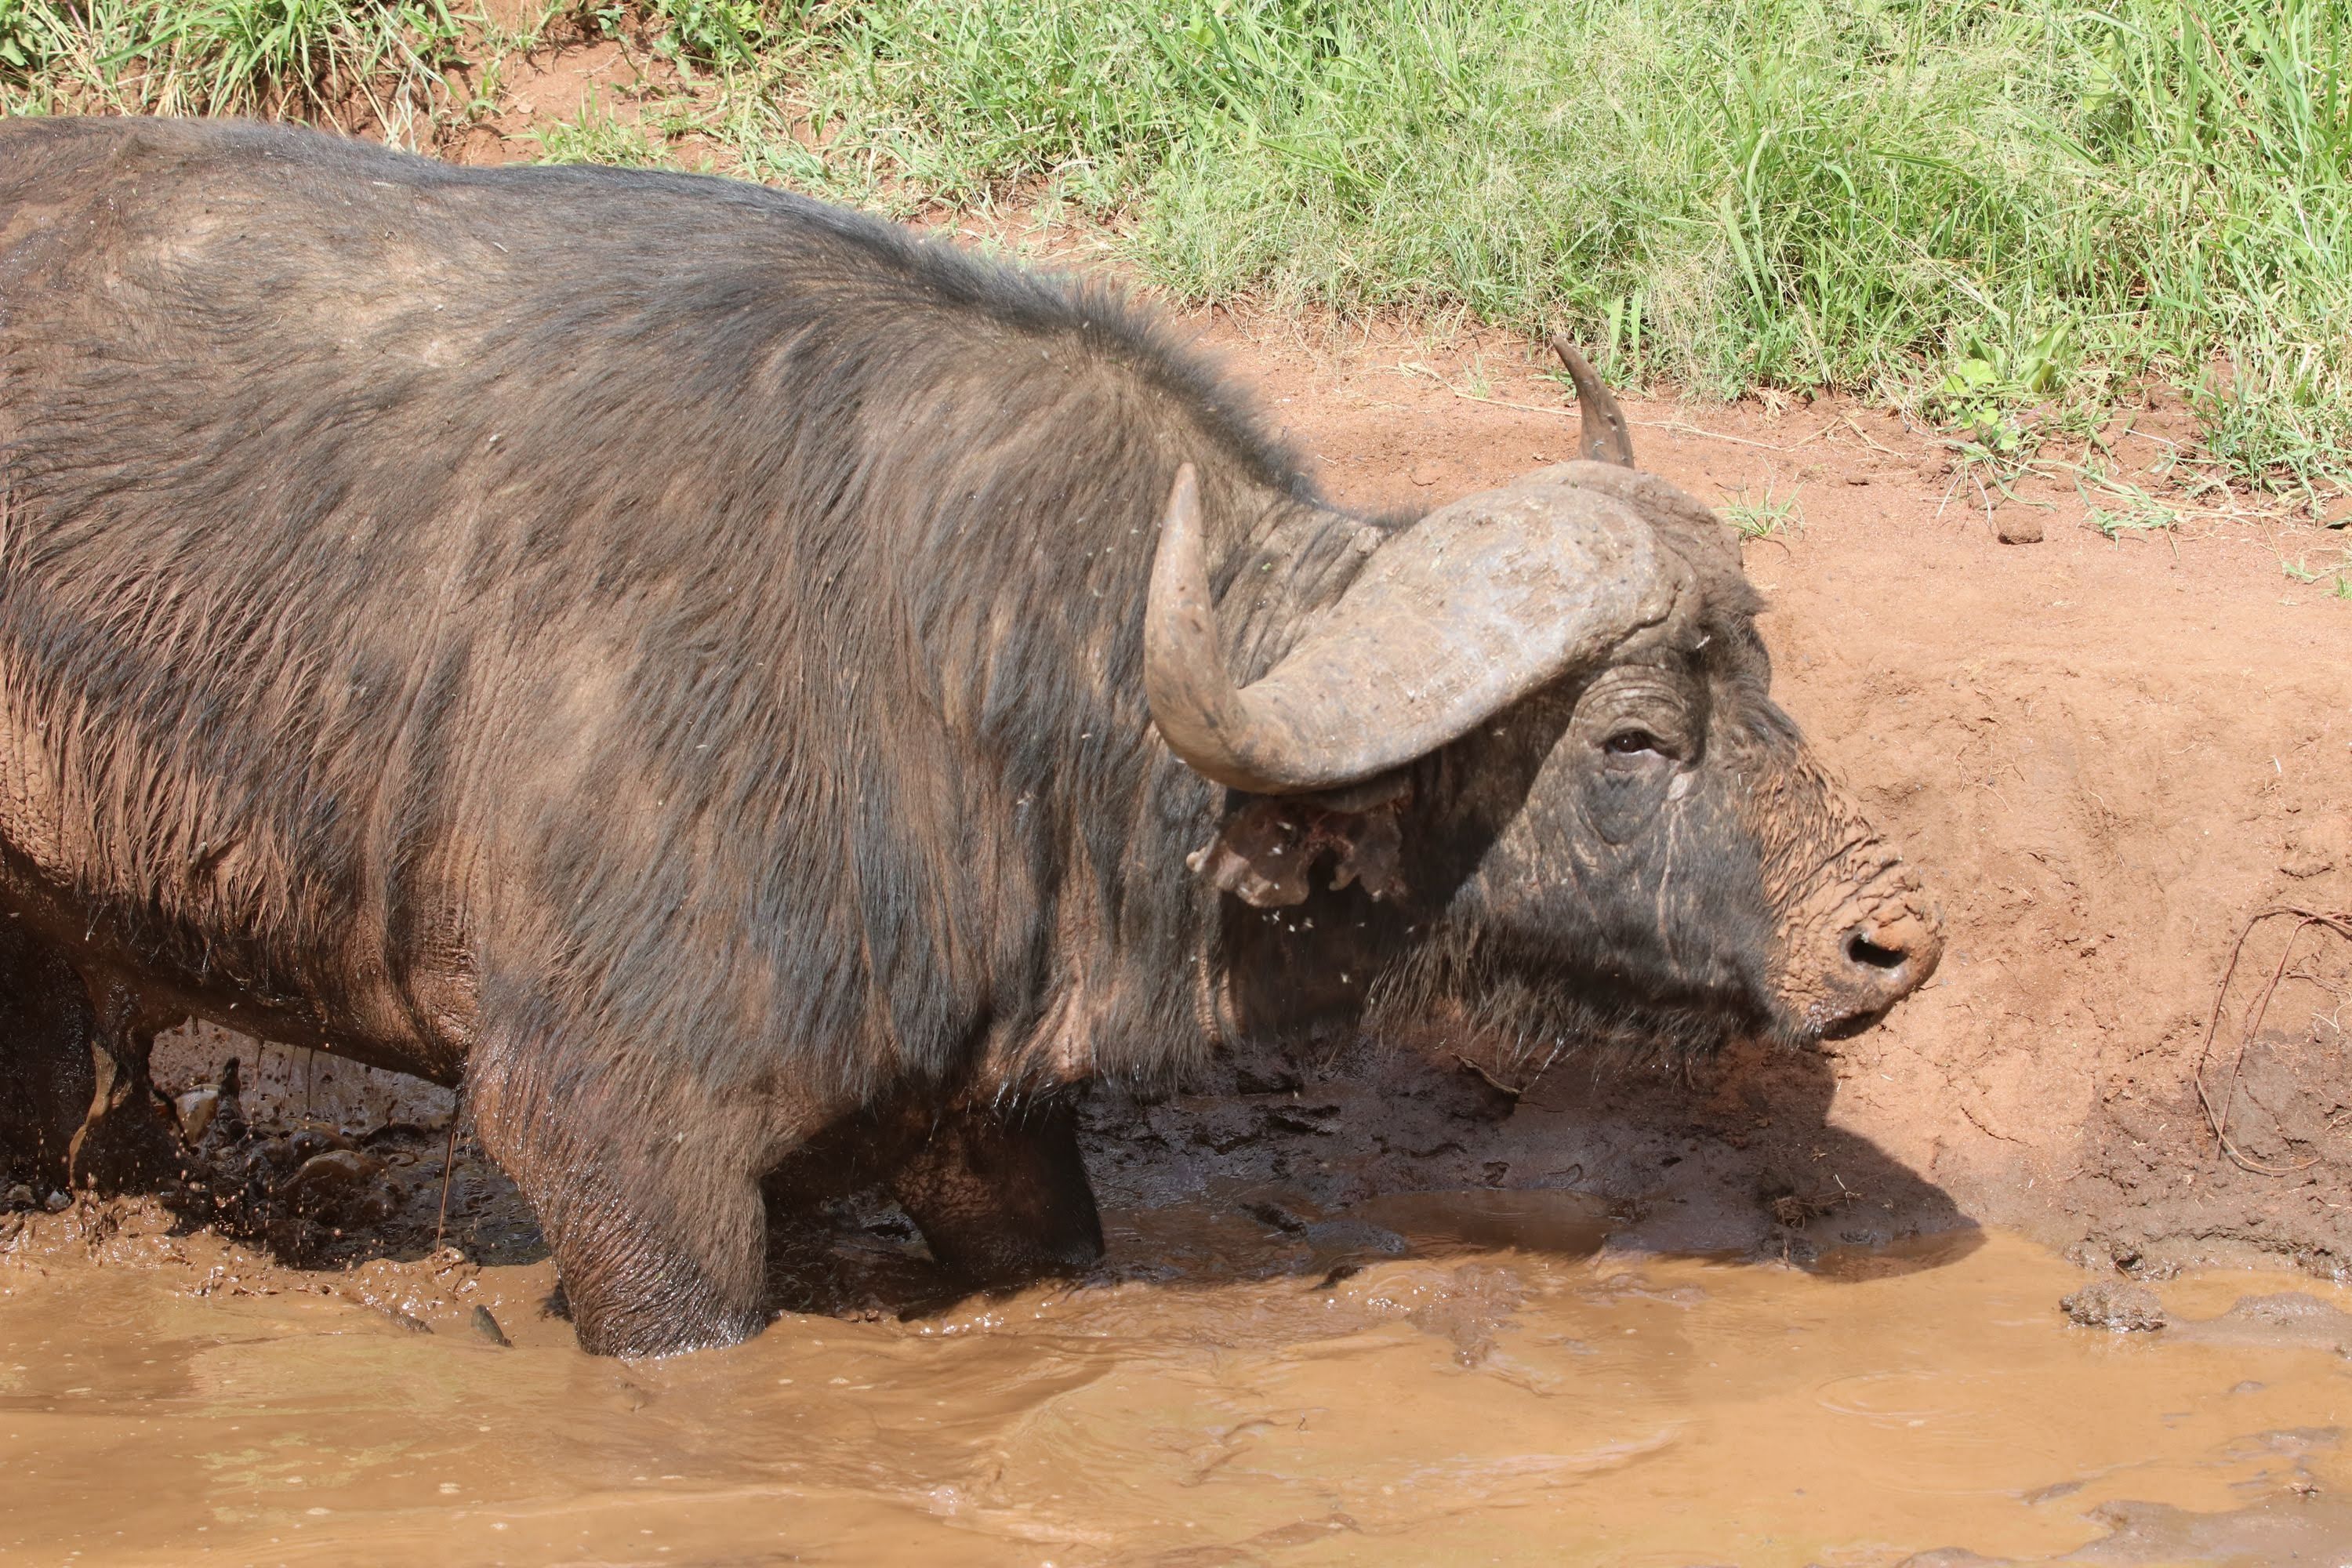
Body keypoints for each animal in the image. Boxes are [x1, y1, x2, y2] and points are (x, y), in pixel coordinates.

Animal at [0, 118, 1940, 1355]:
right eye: (1632, 736)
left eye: (1762, 663)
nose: (1891, 931)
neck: (966, 668)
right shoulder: (618, 1142)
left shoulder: (981, 1124)